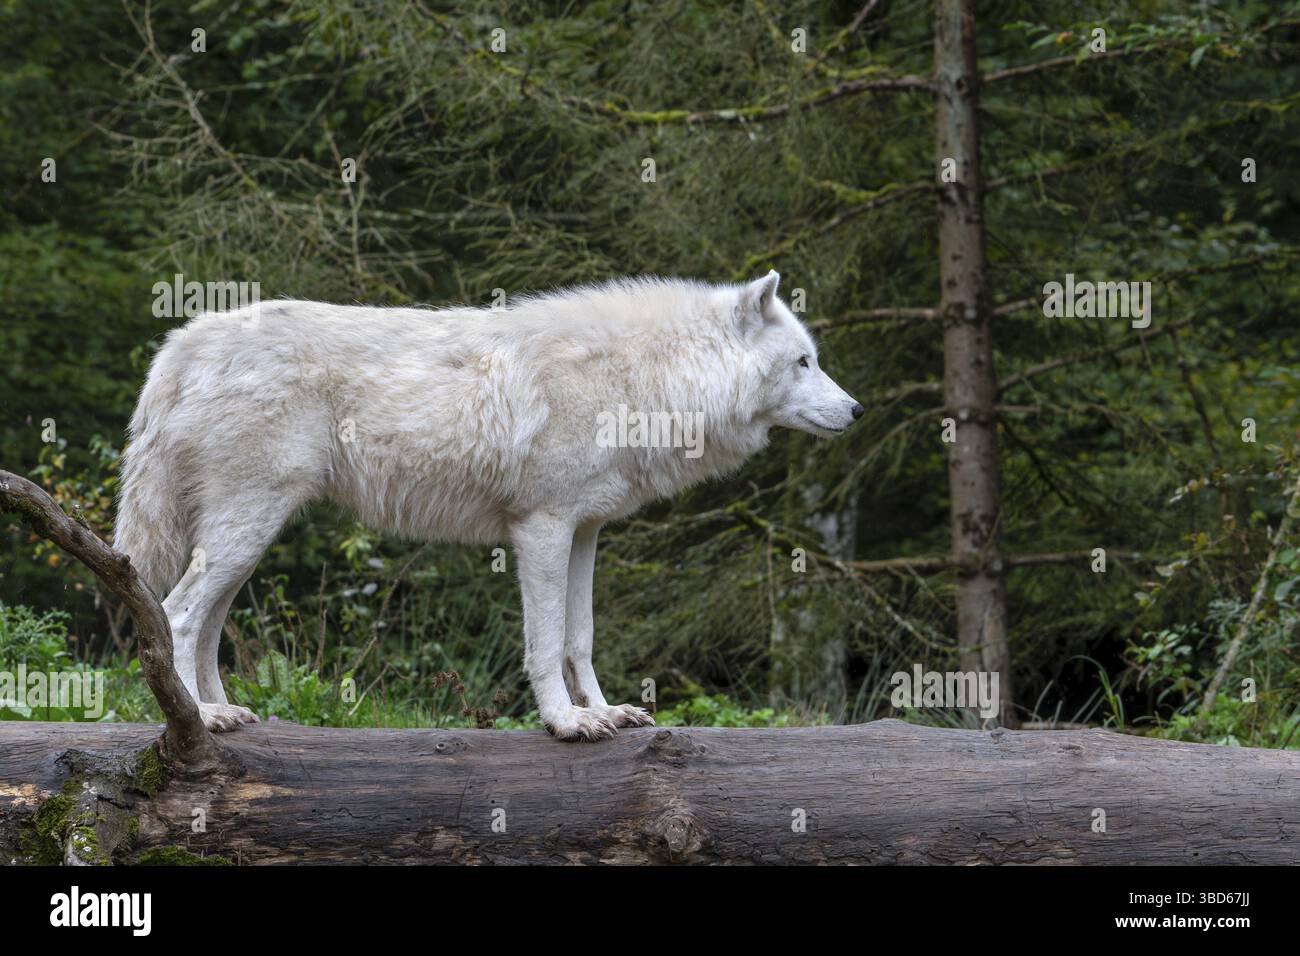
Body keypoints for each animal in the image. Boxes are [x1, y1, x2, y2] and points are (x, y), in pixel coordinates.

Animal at [114, 271, 862, 740]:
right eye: (803, 362)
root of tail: (181, 342)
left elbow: (581, 637)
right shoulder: (542, 528)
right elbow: (545, 642)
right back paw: (200, 723)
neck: (641, 379)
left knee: (206, 629)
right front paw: (566, 724)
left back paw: (226, 713)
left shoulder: (586, 531)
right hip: (245, 529)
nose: (857, 410)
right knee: (176, 616)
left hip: (246, 539)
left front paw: (607, 712)